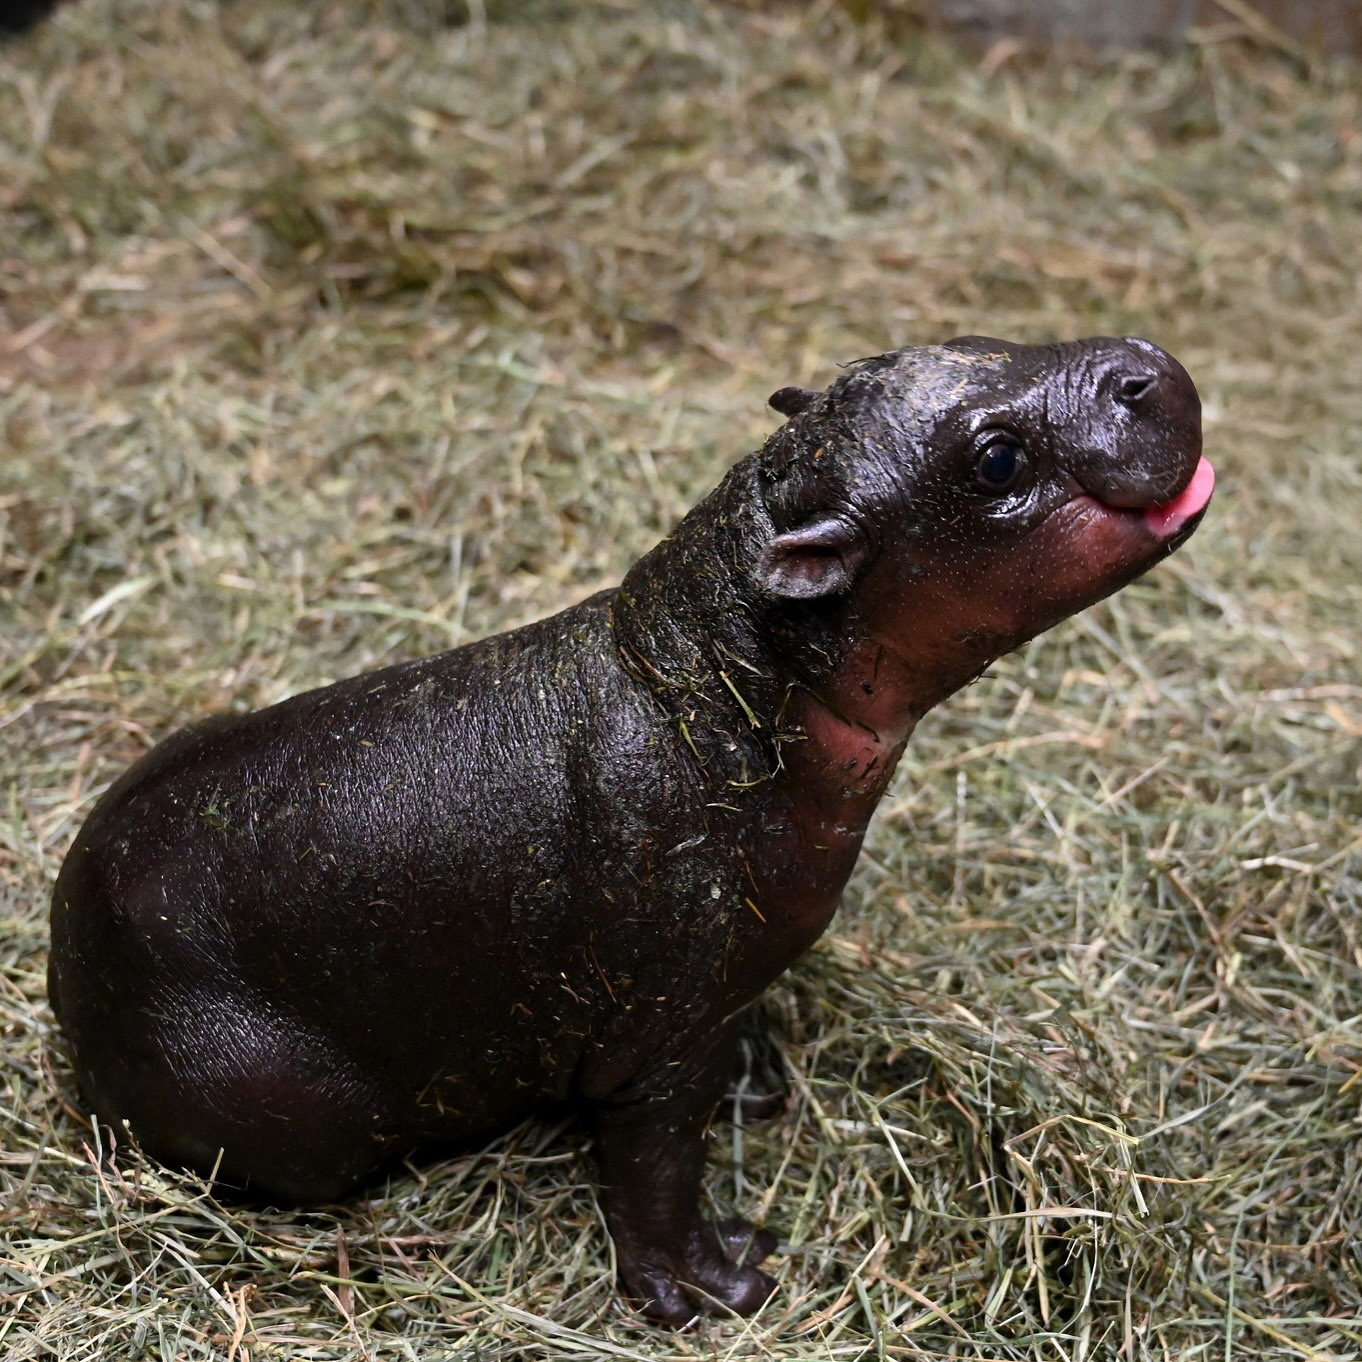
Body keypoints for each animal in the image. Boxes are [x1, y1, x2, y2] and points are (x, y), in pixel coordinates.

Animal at [48, 336, 1213, 1323]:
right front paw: (721, 1287)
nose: (1143, 363)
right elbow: (656, 1173)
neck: (726, 671)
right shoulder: (657, 1043)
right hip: (306, 1109)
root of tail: (64, 960)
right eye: (997, 458)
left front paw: (759, 1086)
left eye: (977, 338)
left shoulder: (723, 992)